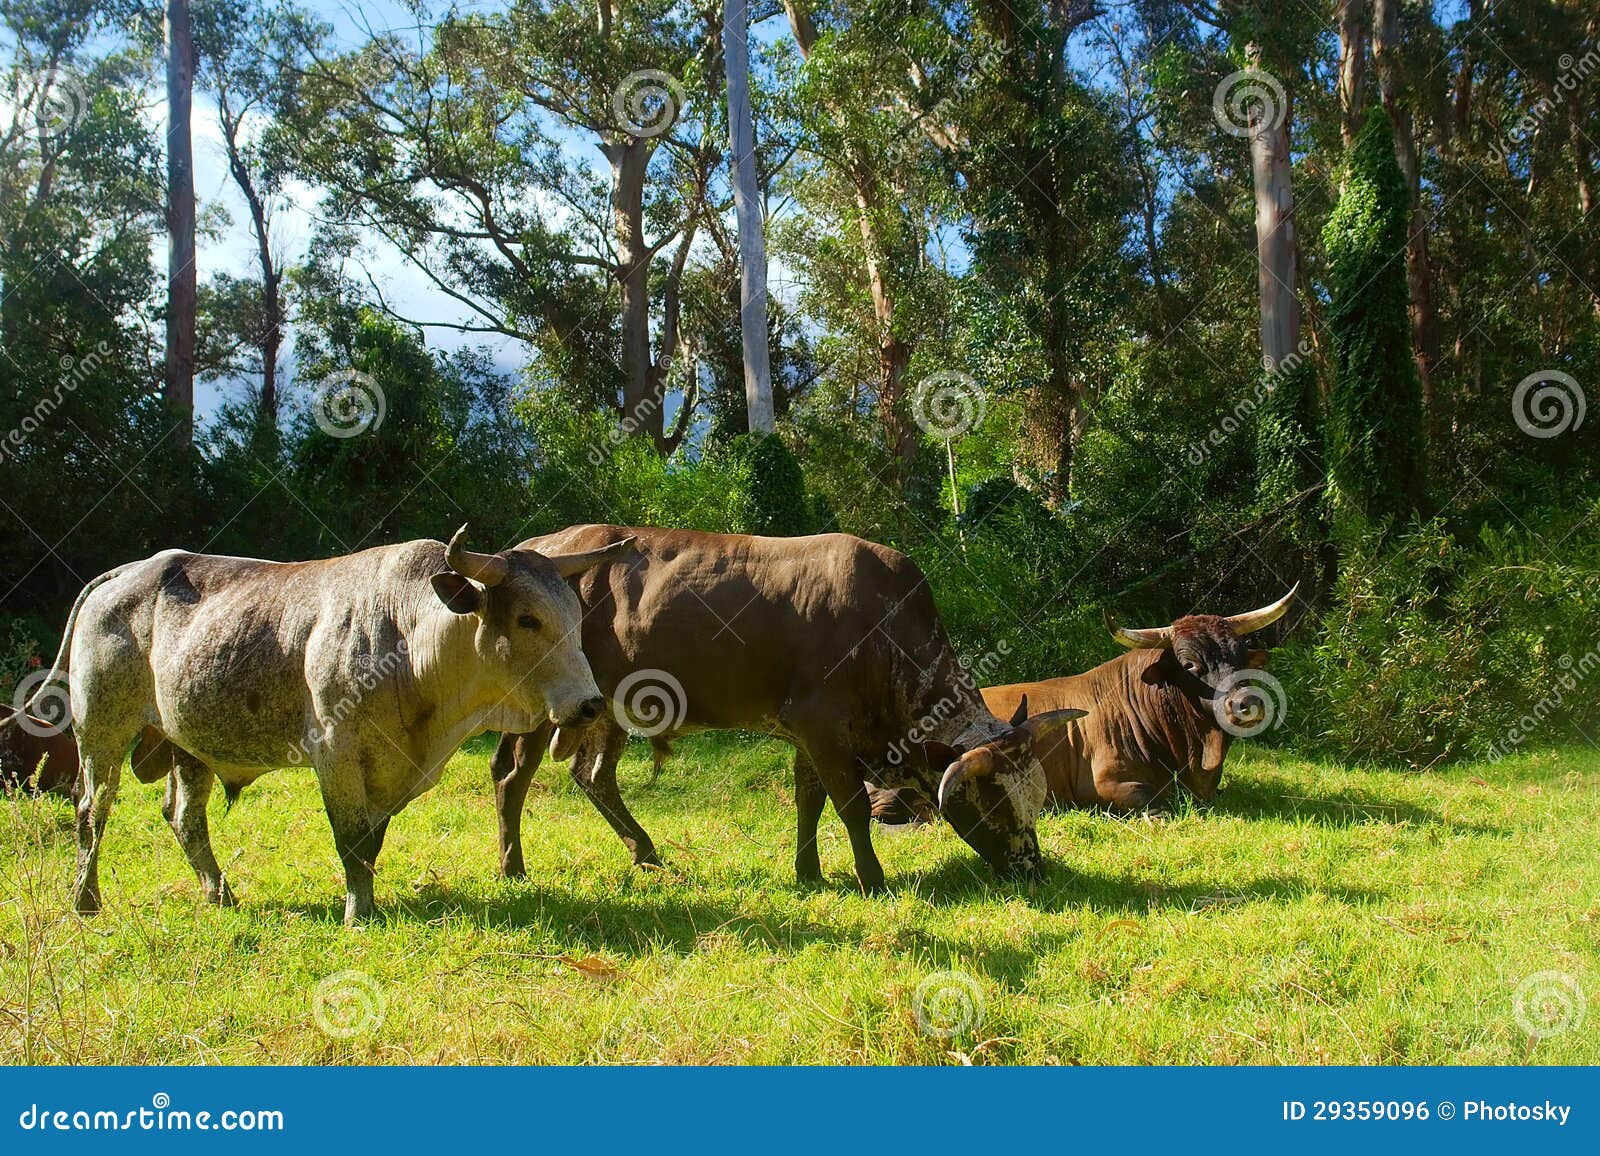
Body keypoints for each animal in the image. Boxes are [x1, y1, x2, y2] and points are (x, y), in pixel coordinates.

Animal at [10, 527, 628, 924]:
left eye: (576, 618)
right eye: (527, 619)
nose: (590, 704)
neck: (409, 641)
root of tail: (125, 574)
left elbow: (371, 842)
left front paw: (368, 900)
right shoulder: (335, 753)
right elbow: (350, 839)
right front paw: (359, 914)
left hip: (189, 745)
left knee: (184, 818)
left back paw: (219, 893)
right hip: (101, 732)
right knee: (92, 813)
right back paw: (86, 901)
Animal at [489, 525, 1086, 892]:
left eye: (1035, 798)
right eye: (992, 803)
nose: (1033, 871)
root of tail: (535, 546)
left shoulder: (808, 736)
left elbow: (809, 802)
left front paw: (809, 872)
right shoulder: (822, 728)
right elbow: (850, 807)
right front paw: (871, 878)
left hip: (606, 710)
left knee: (592, 776)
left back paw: (647, 853)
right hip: (547, 707)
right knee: (513, 778)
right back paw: (513, 866)